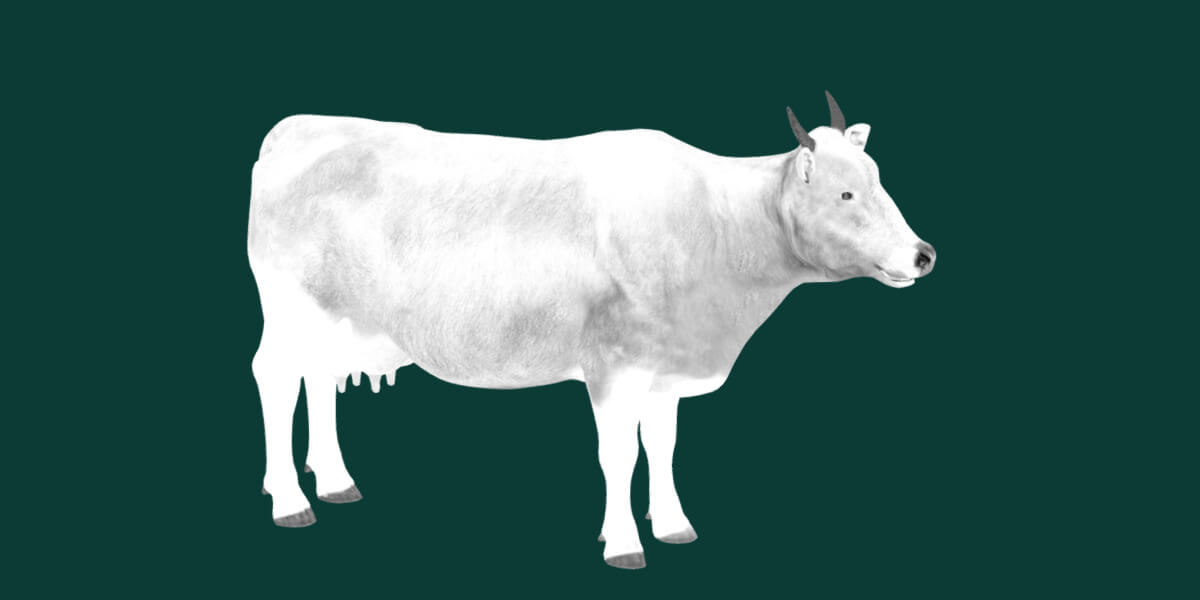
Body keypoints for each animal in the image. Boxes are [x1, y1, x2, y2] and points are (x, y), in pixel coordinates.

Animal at [248, 92, 936, 569]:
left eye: (878, 180)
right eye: (846, 195)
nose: (923, 255)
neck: (716, 225)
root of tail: (302, 124)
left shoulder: (664, 368)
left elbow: (662, 447)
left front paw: (672, 524)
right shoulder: (615, 364)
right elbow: (619, 454)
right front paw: (625, 543)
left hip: (335, 319)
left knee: (318, 380)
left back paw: (333, 481)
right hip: (290, 309)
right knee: (275, 380)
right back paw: (289, 501)